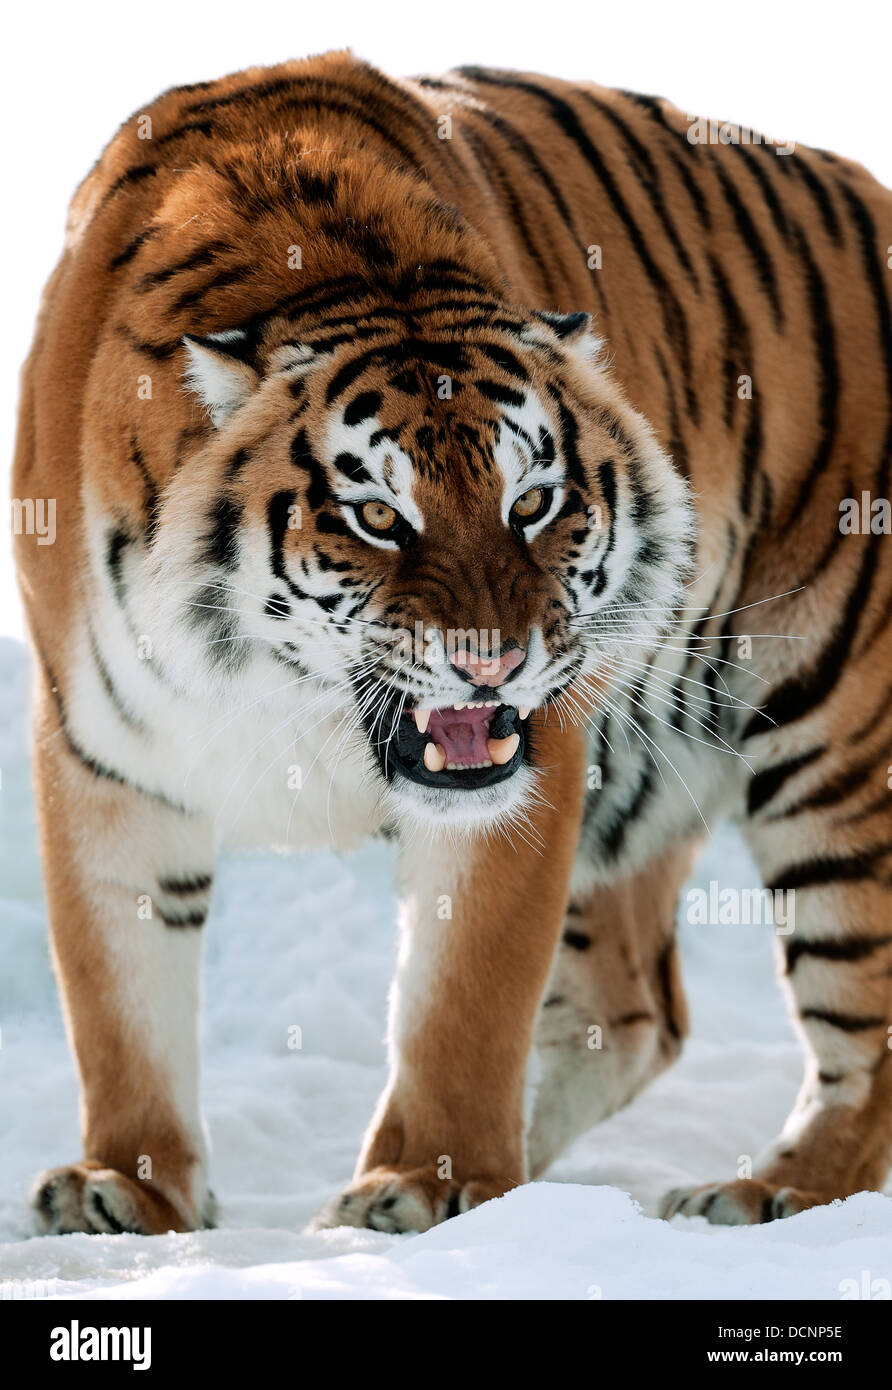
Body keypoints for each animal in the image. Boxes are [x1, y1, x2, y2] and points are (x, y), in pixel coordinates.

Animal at [12, 50, 892, 1238]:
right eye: (379, 516)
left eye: (533, 501)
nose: (494, 661)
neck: (276, 689)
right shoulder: (102, 749)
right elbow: (118, 993)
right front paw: (124, 1186)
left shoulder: (534, 761)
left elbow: (464, 994)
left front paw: (422, 1186)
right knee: (633, 1005)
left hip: (837, 732)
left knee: (858, 1028)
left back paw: (763, 1194)